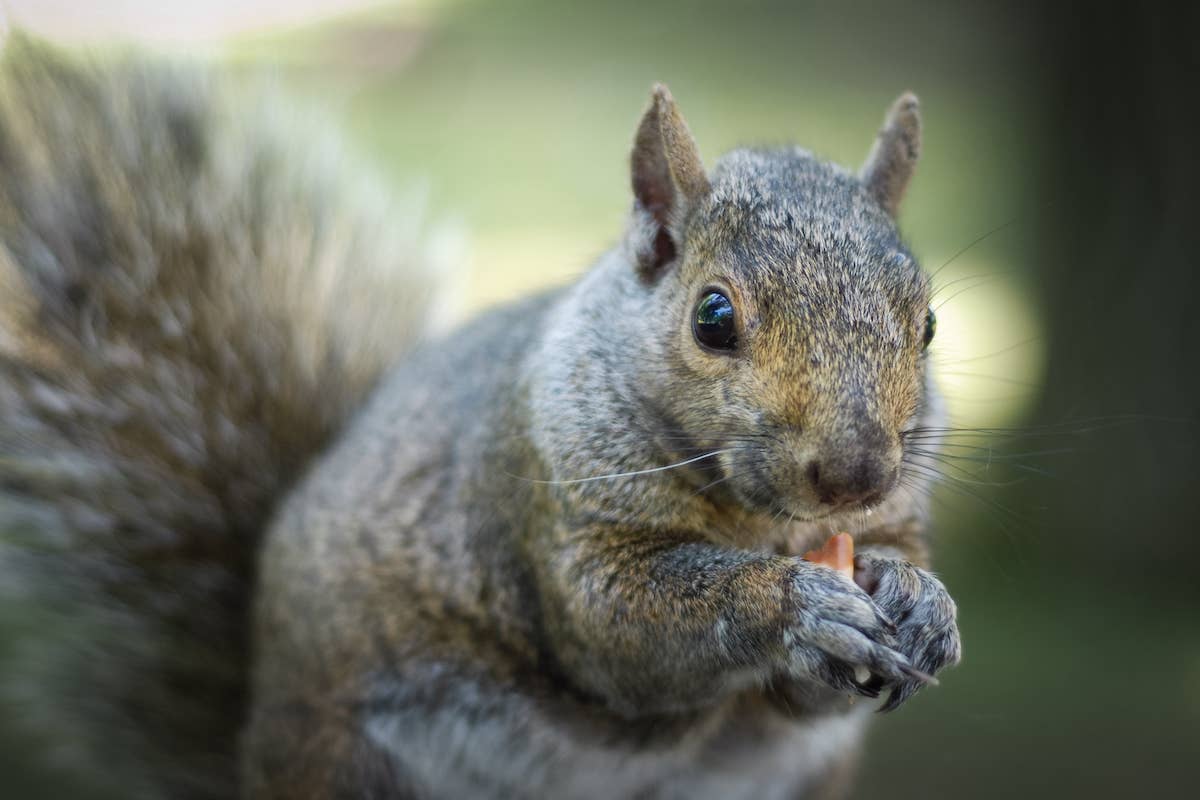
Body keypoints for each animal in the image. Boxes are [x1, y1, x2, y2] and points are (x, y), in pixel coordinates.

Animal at [0, 35, 961, 800]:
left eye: (928, 324)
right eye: (712, 317)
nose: (855, 476)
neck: (761, 521)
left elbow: (813, 686)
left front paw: (921, 600)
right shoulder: (558, 515)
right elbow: (625, 628)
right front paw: (796, 605)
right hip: (337, 759)